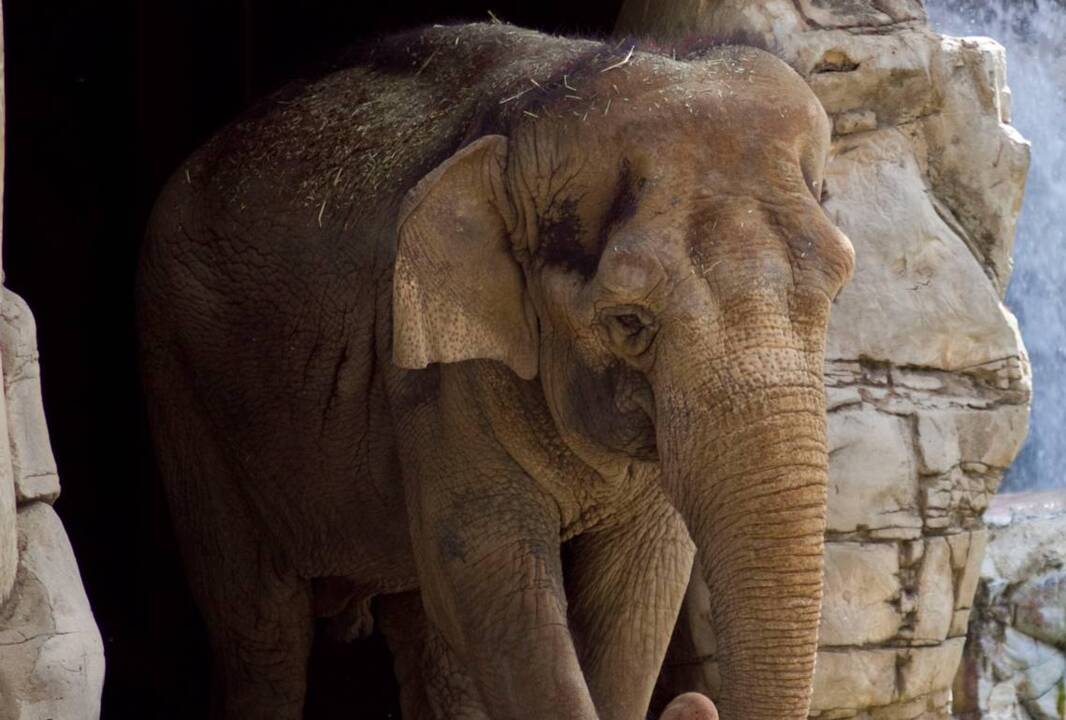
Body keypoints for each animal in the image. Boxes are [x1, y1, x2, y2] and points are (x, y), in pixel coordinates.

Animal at [137, 21, 854, 720]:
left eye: (837, 289)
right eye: (629, 322)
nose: (694, 699)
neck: (540, 98)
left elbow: (636, 593)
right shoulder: (434, 370)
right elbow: (494, 580)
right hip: (181, 382)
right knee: (262, 632)